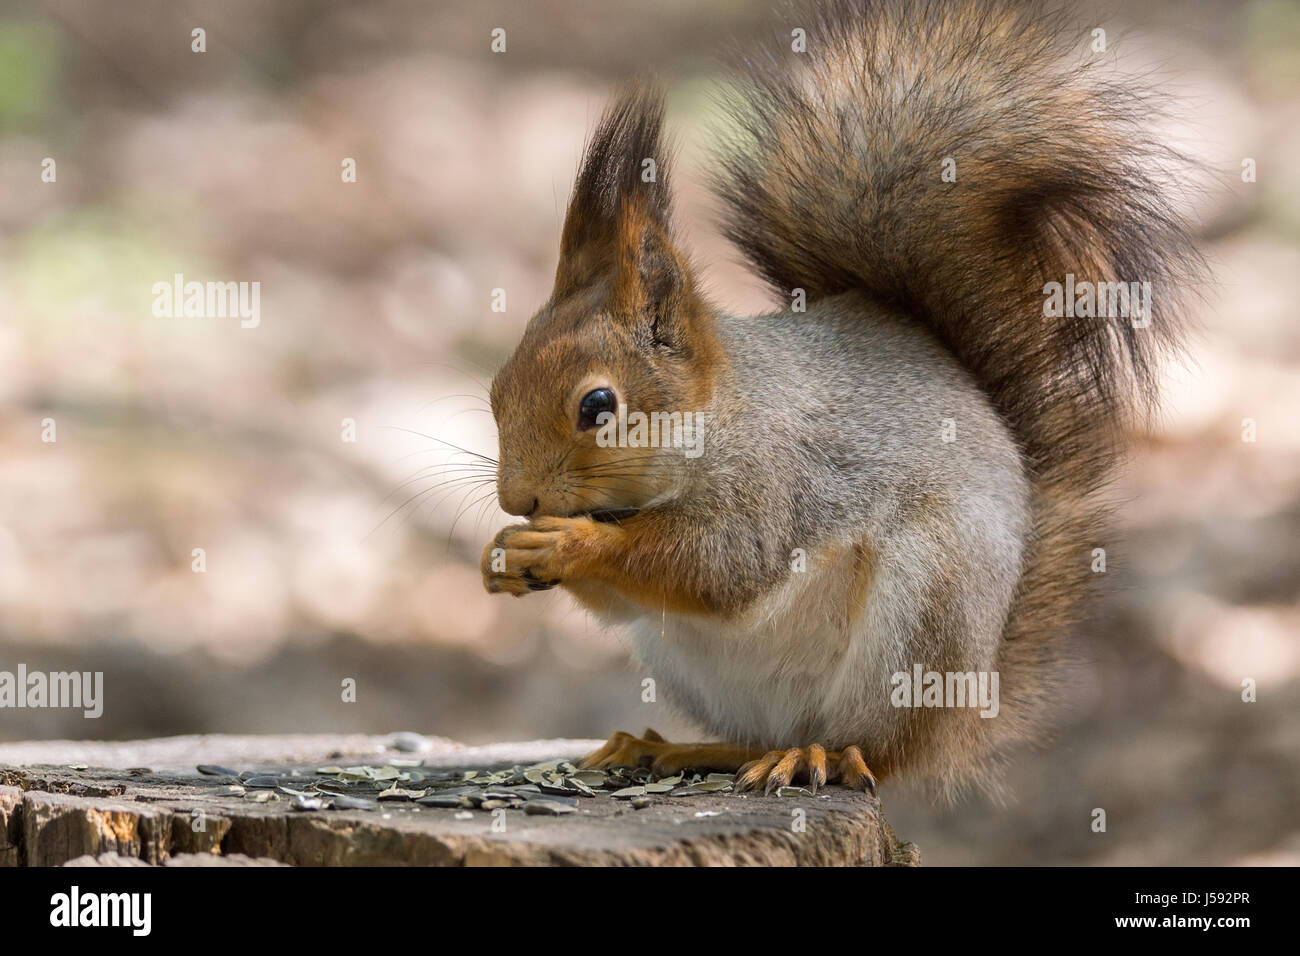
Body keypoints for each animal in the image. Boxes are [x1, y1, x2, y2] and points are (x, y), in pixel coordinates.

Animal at [479, 0, 1200, 798]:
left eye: (598, 407)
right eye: (496, 390)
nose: (517, 500)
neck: (719, 415)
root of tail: (965, 714)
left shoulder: (775, 482)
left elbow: (716, 566)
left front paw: (568, 542)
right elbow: (629, 595)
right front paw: (503, 557)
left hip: (922, 617)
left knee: (874, 751)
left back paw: (817, 756)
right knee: (763, 734)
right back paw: (683, 748)